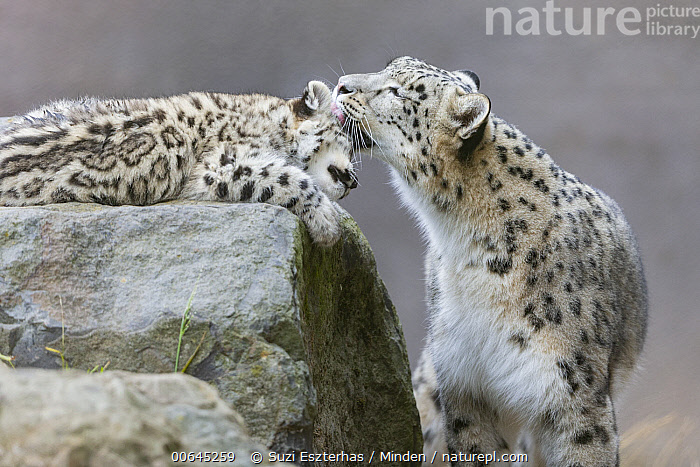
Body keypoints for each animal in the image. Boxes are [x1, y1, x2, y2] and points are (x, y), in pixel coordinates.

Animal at [332, 57, 647, 466]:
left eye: (399, 92)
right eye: (389, 67)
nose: (340, 85)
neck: (468, 249)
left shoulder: (573, 392)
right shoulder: (463, 382)